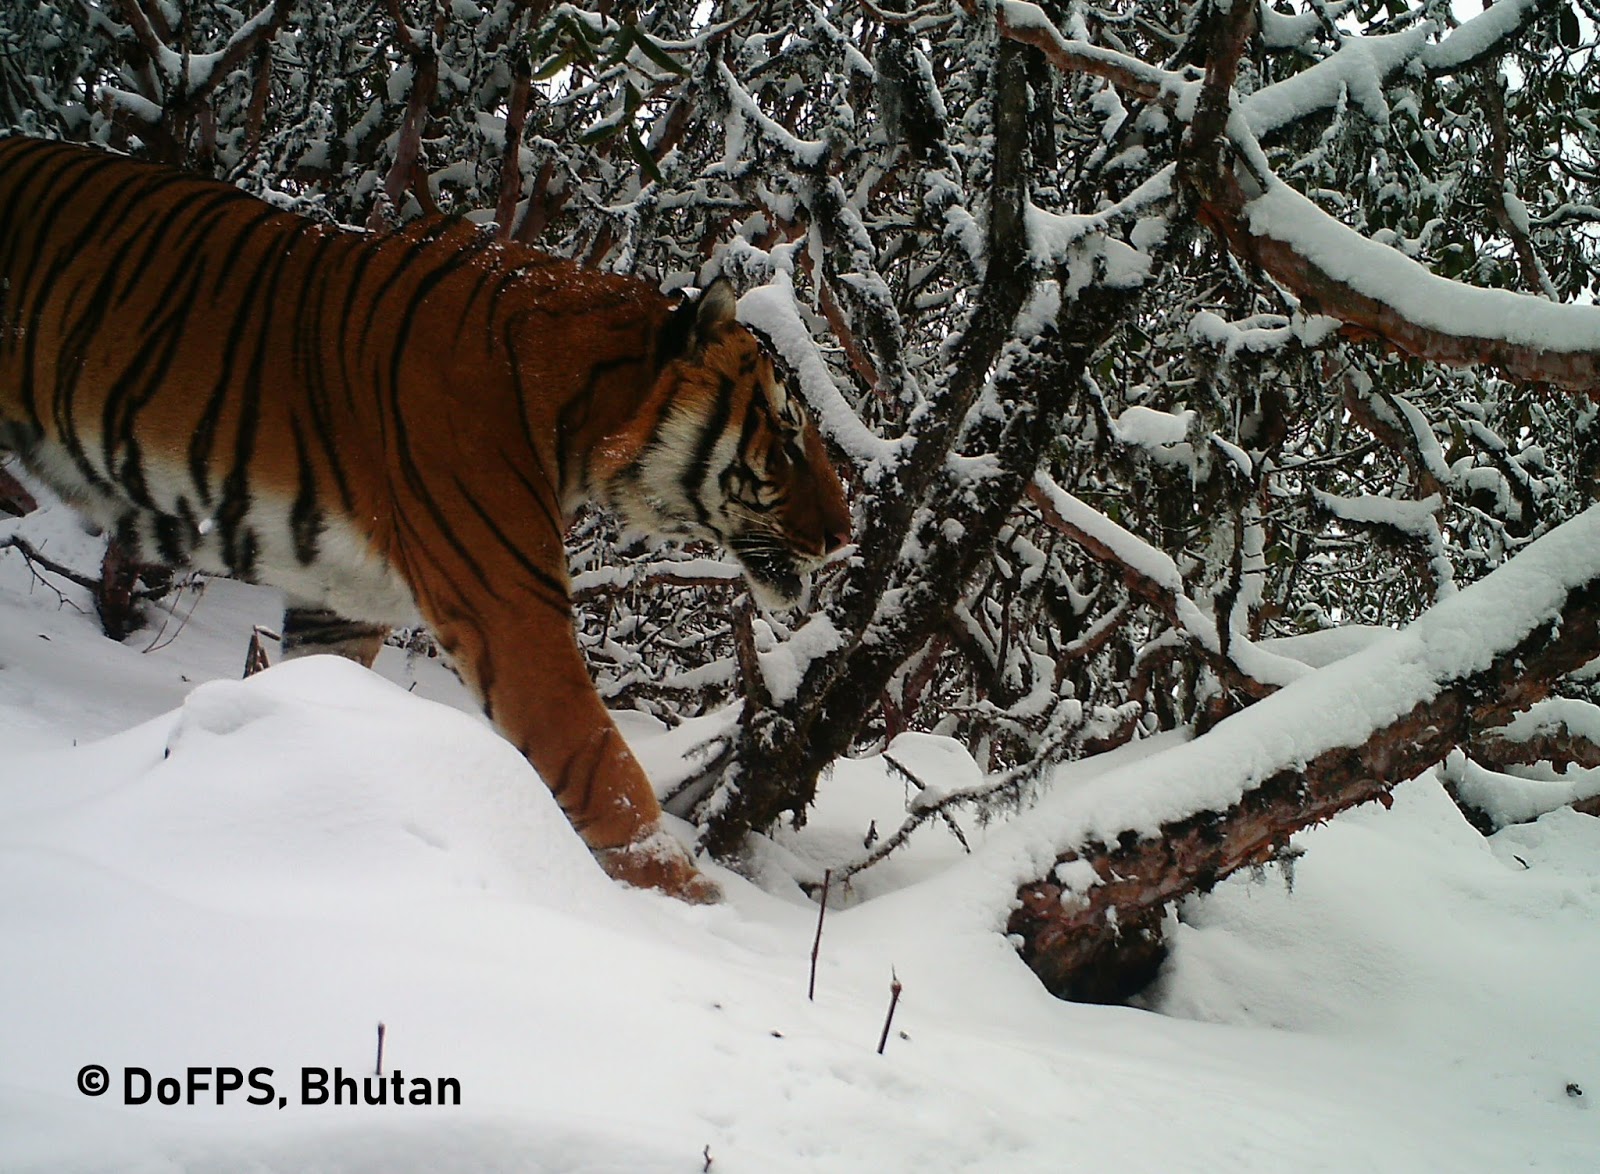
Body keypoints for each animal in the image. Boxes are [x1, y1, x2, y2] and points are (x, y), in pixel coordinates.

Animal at [0, 135, 852, 903]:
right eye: (787, 437)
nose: (846, 538)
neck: (576, 413)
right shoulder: (510, 607)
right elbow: (601, 766)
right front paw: (688, 912)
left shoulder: (340, 600)